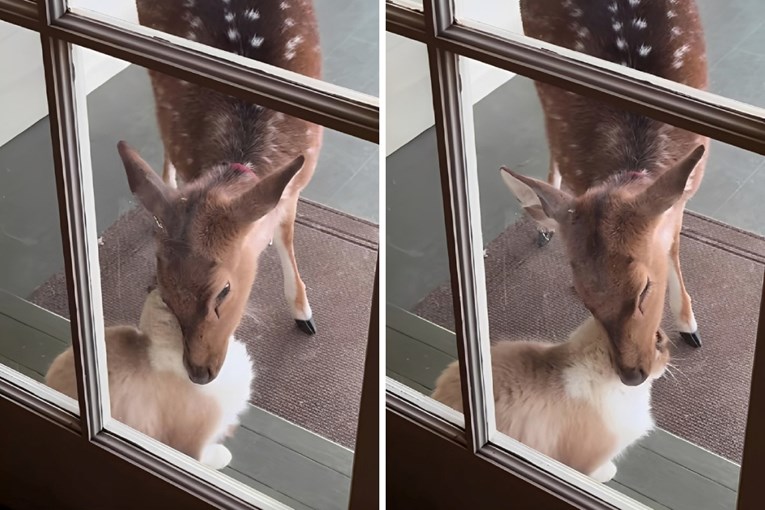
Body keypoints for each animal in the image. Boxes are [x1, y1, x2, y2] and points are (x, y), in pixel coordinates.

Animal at [116, 0, 324, 384]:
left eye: (224, 291)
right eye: (163, 290)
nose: (200, 371)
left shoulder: (299, 178)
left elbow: (285, 235)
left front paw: (303, 313)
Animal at [500, 0, 709, 386]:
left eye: (645, 287)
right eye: (582, 295)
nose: (632, 374)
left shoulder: (687, 187)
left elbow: (672, 245)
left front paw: (689, 324)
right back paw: (543, 223)